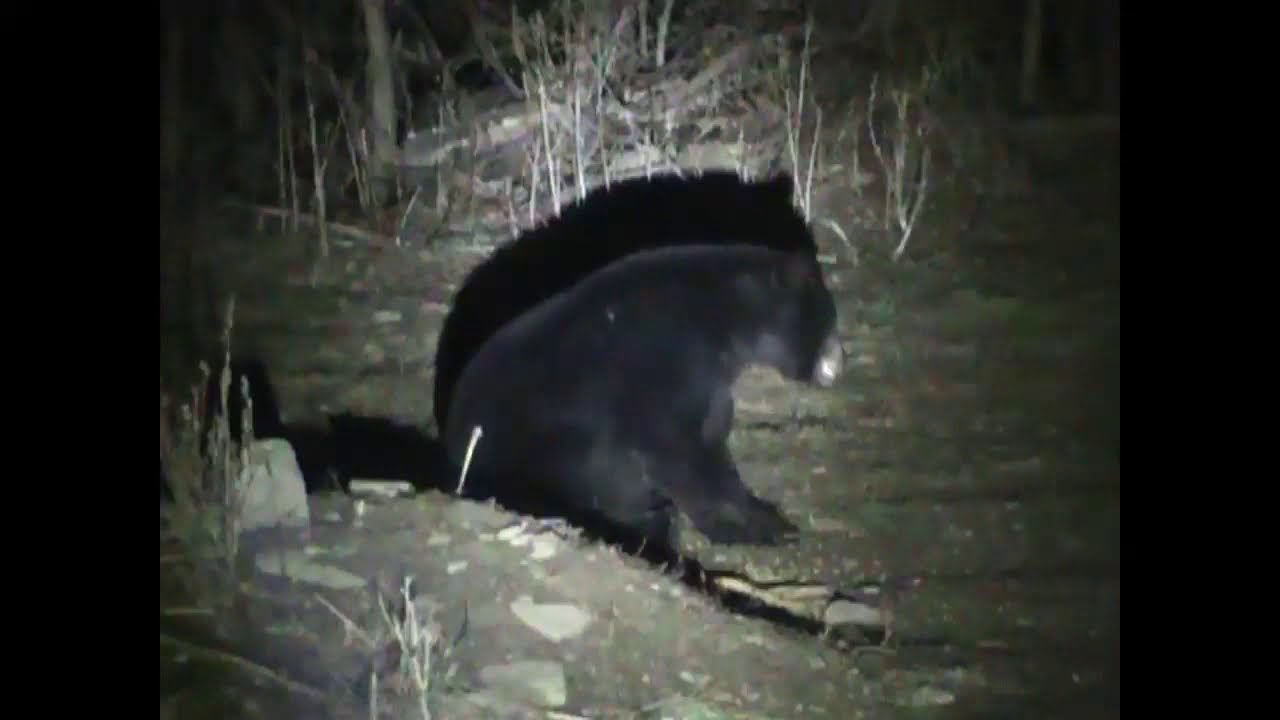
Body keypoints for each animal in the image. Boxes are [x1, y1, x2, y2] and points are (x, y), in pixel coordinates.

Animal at [443, 244, 843, 551]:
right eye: (826, 315)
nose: (840, 353)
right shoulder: (658, 393)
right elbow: (690, 467)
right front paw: (753, 529)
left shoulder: (707, 395)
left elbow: (713, 455)